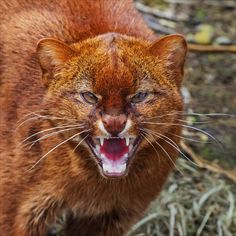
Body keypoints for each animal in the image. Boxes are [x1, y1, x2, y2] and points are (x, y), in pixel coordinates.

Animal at [0, 0, 186, 235]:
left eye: (140, 96)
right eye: (89, 96)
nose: (114, 123)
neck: (95, 188)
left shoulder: (111, 216)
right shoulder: (17, 213)